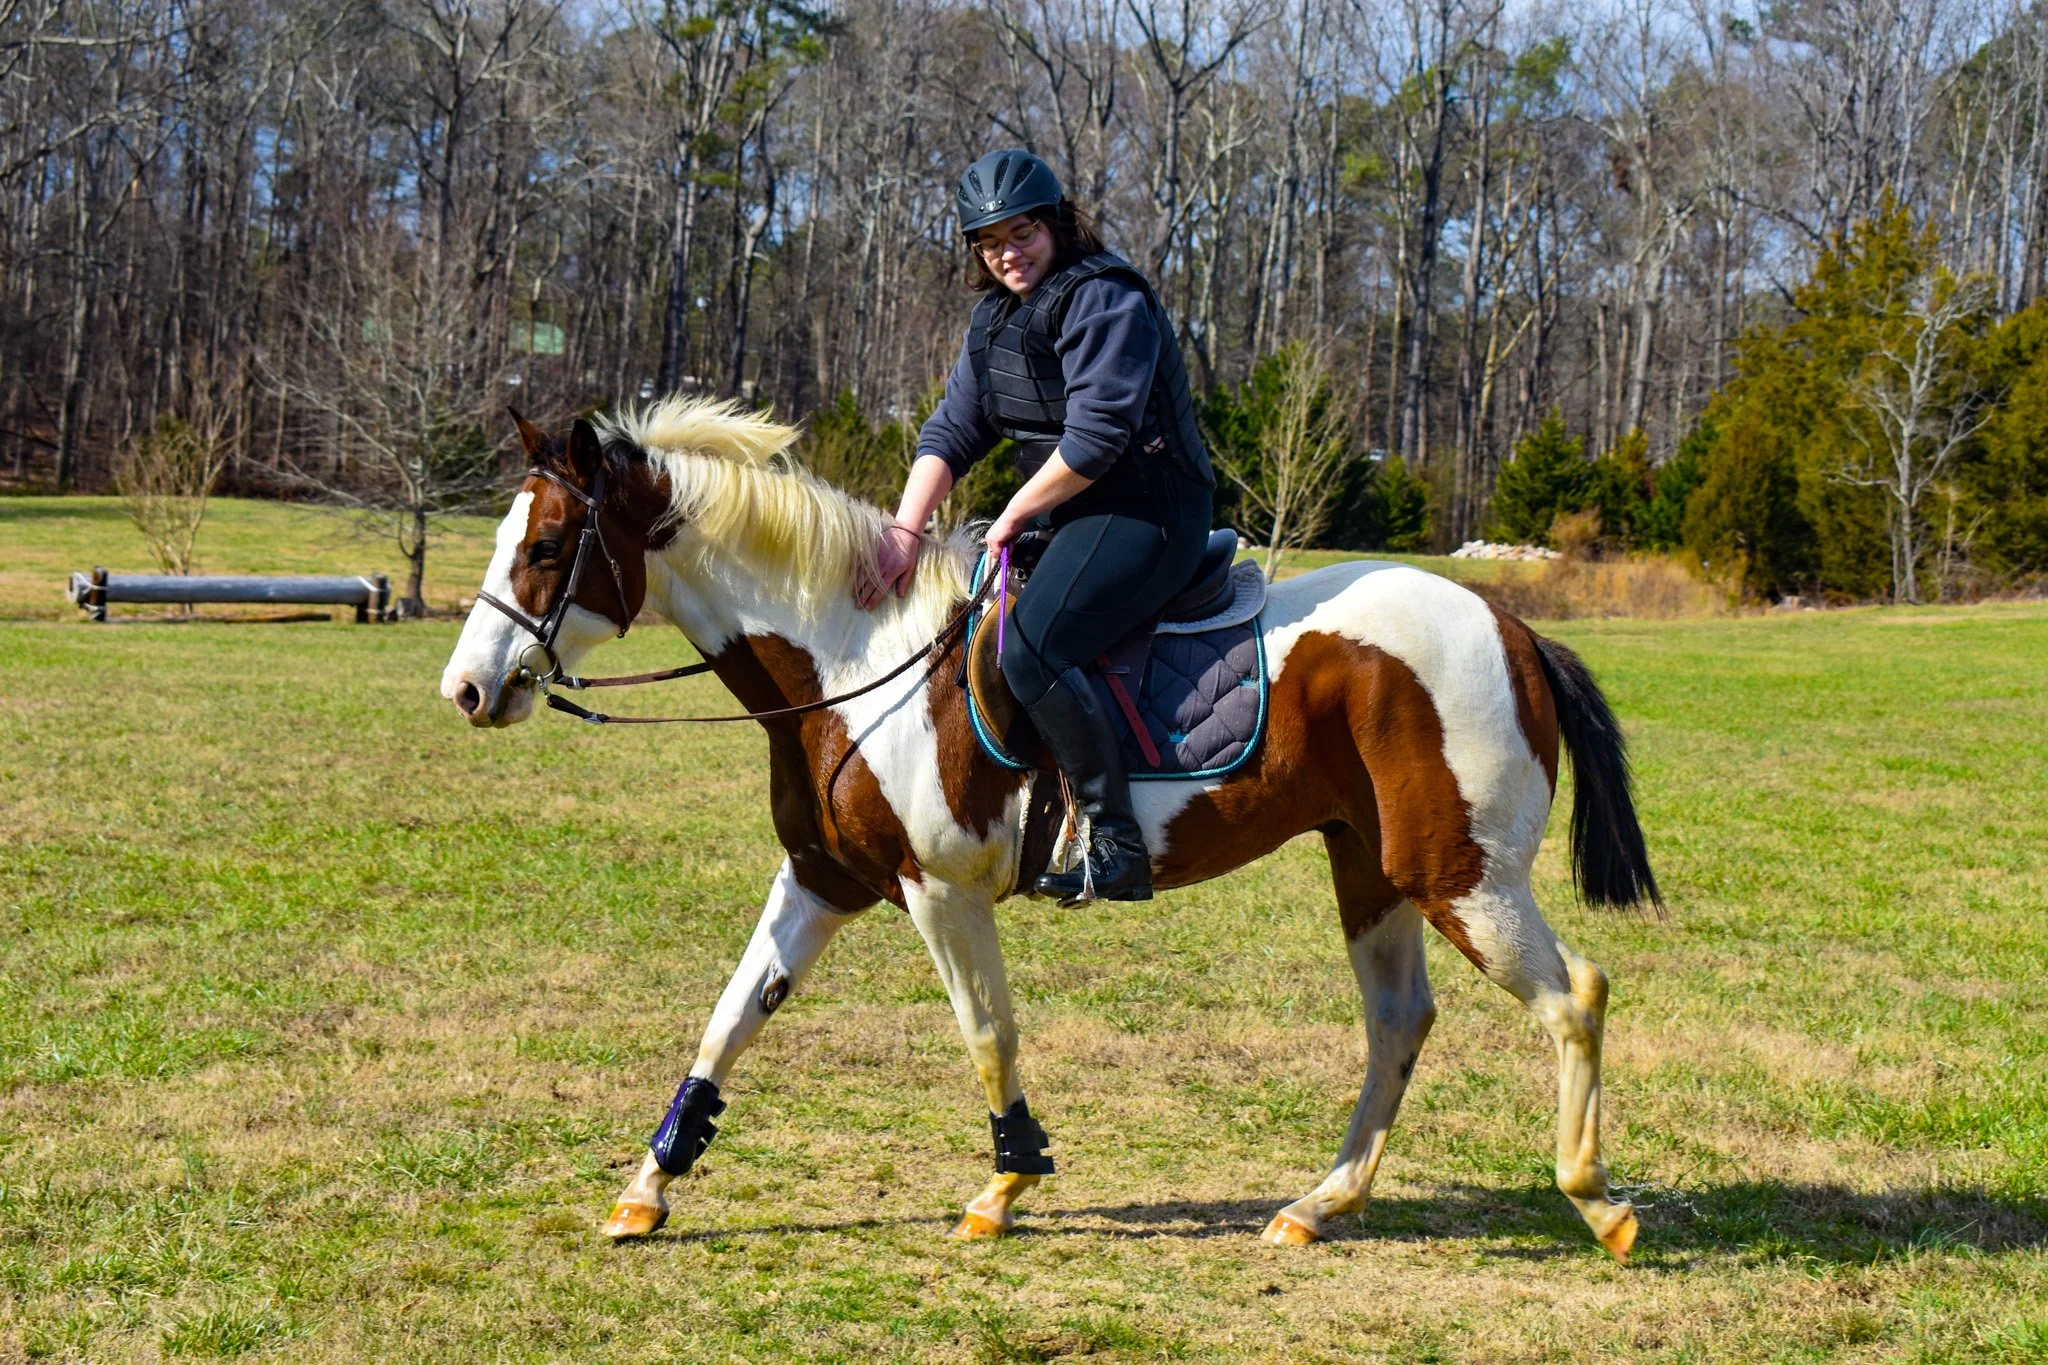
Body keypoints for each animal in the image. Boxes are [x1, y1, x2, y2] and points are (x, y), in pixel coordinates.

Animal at [439, 397, 1660, 1260]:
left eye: (546, 547)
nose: (467, 691)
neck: (846, 660)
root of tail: (1509, 622)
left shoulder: (939, 891)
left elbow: (986, 1034)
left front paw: (1007, 1182)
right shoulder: (820, 880)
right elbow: (728, 1021)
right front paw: (647, 1187)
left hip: (1461, 874)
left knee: (1574, 997)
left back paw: (1597, 1203)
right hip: (1371, 869)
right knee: (1400, 1021)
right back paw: (1320, 1204)